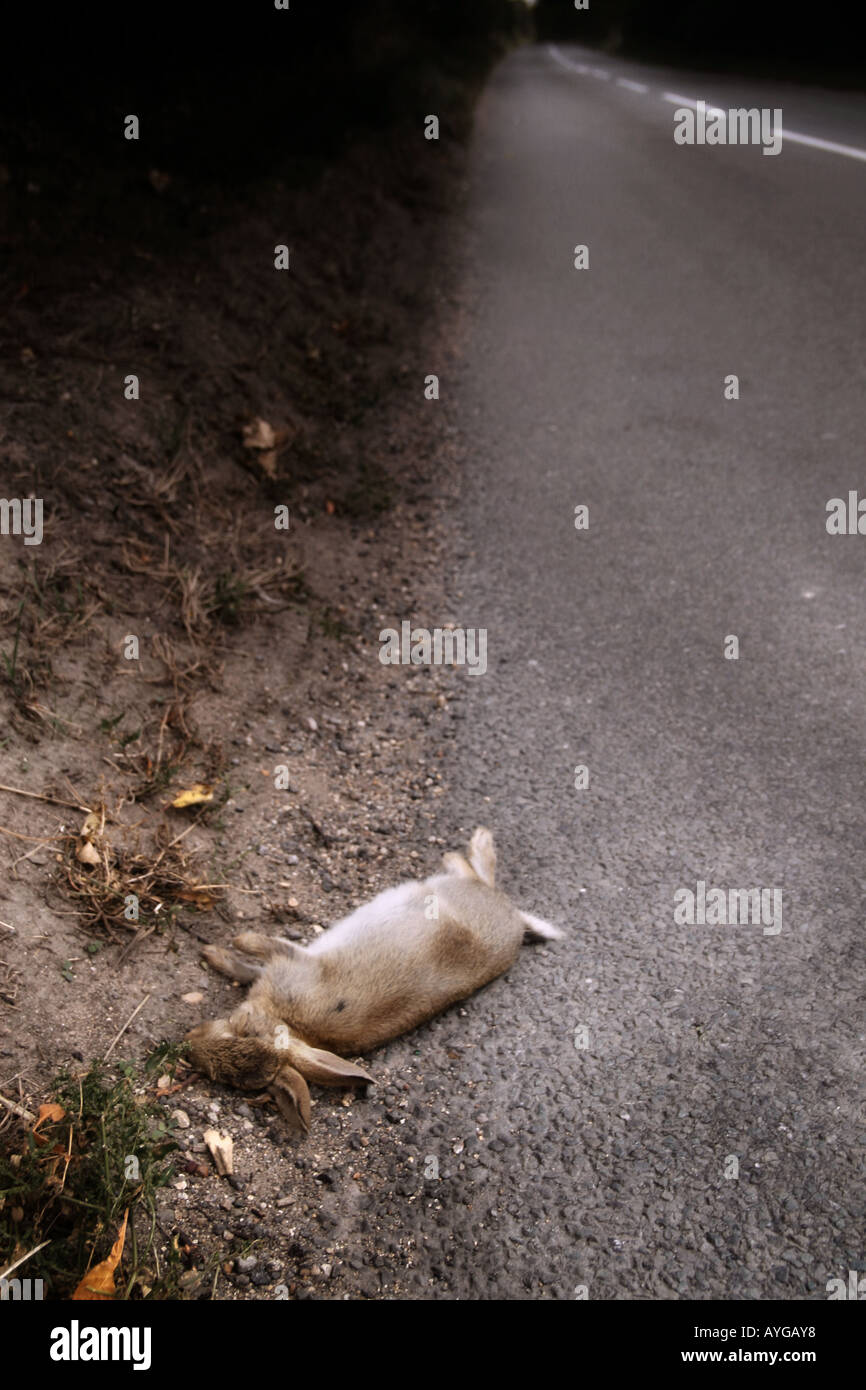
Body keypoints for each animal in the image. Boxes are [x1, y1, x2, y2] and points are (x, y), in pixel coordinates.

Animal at [187, 826, 563, 1132]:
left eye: (241, 1032)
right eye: (226, 1079)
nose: (189, 1043)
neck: (289, 1022)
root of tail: (517, 923)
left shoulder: (294, 961)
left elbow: (257, 946)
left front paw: (231, 943)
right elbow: (247, 969)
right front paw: (216, 956)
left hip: (467, 894)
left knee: (480, 874)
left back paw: (471, 844)